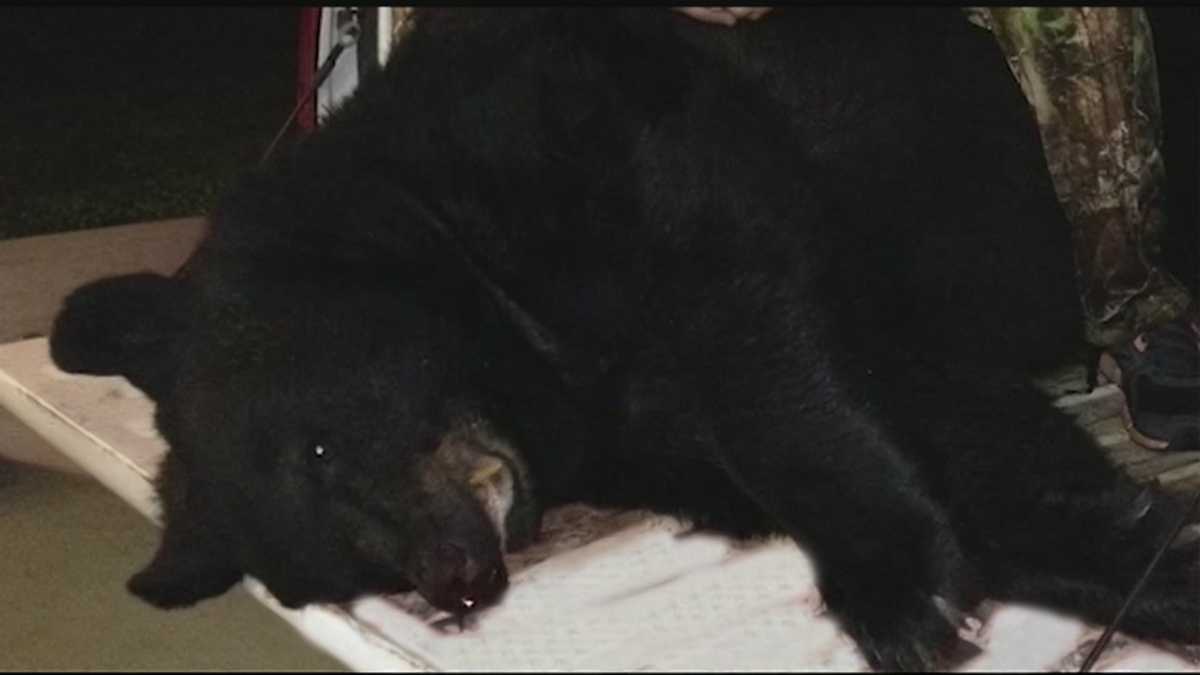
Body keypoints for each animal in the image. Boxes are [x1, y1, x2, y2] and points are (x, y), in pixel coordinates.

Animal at [48, 8, 1198, 671]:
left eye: (320, 445)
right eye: (350, 571)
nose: (459, 577)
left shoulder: (633, 150)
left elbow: (758, 352)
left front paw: (889, 577)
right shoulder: (667, 431)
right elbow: (981, 459)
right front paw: (1151, 556)